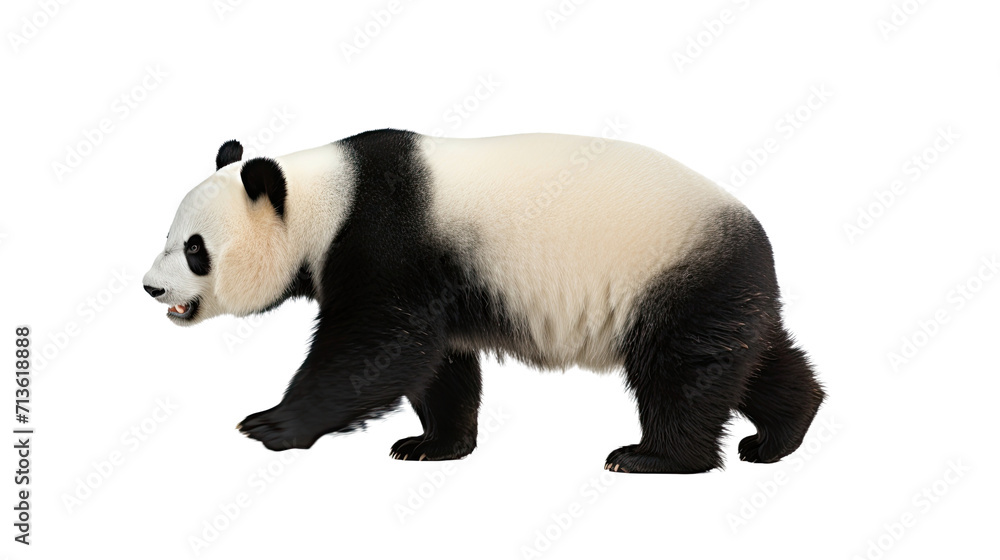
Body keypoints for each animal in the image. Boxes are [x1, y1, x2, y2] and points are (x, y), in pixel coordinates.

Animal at [142, 129, 824, 473]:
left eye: (196, 249)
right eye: (169, 238)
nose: (153, 288)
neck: (329, 195)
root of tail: (755, 235)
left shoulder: (388, 239)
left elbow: (375, 347)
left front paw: (272, 424)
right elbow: (435, 361)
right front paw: (433, 445)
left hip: (668, 271)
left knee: (682, 372)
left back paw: (654, 457)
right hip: (717, 285)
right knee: (751, 360)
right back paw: (780, 434)